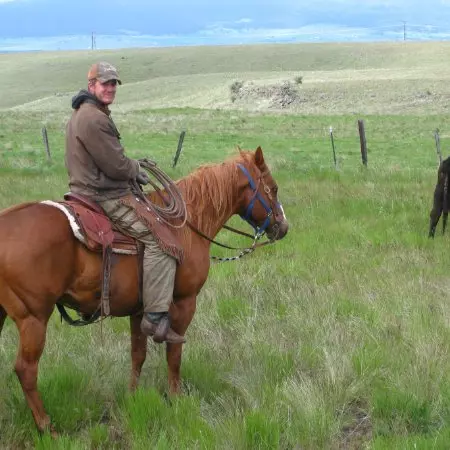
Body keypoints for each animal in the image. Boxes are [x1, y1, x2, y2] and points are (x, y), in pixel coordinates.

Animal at [0, 146, 288, 434]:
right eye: (273, 188)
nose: (284, 227)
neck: (185, 227)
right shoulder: (184, 302)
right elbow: (174, 353)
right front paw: (176, 397)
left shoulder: (139, 310)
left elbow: (138, 354)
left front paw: (132, 395)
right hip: (34, 318)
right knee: (26, 369)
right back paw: (46, 426)